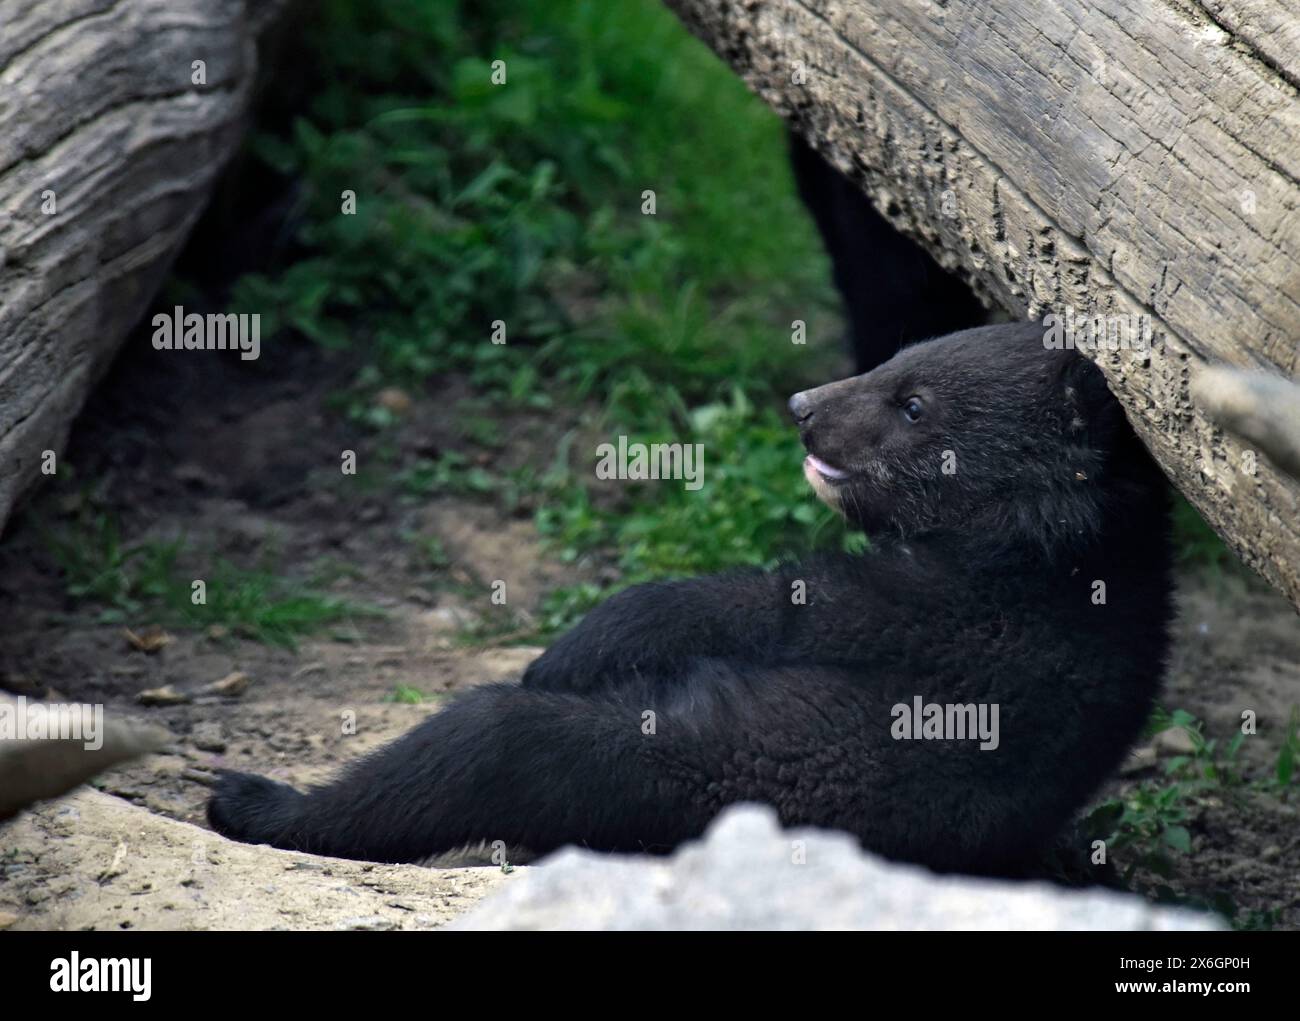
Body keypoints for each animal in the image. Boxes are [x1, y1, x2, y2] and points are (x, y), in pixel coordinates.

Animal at [207, 321, 1173, 876]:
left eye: (914, 403)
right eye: (897, 356)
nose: (802, 404)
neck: (1044, 546)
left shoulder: (954, 612)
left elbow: (770, 602)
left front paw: (573, 644)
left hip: (658, 770)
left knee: (477, 750)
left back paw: (254, 798)